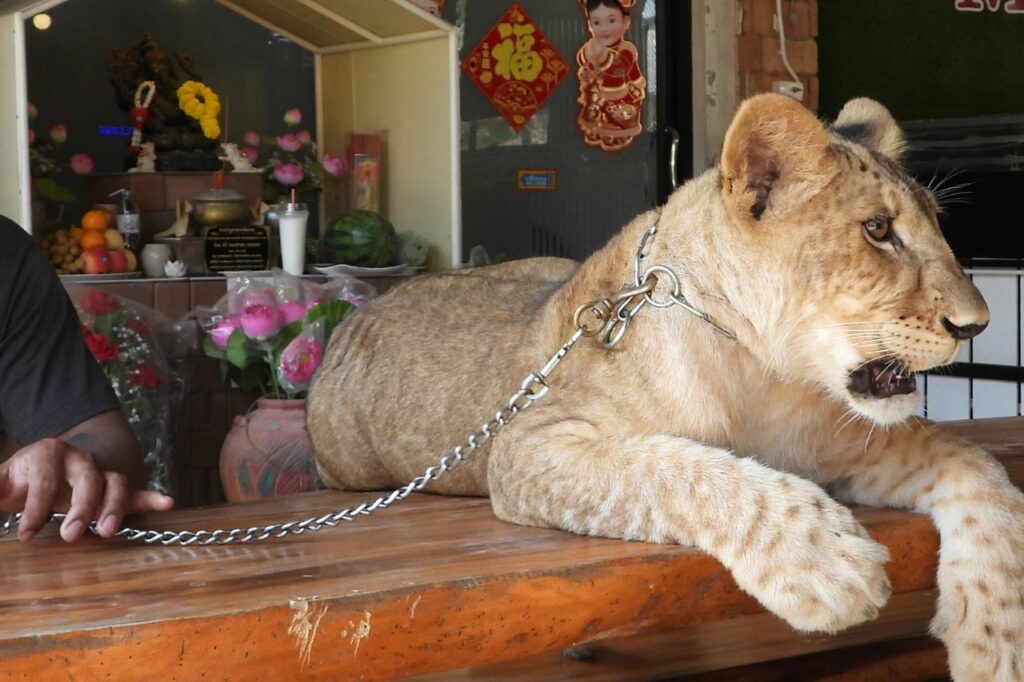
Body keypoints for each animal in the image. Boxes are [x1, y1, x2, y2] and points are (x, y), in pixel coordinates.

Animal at [307, 94, 1024, 681]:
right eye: (878, 230)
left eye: (936, 225)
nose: (978, 324)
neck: (765, 376)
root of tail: (355, 316)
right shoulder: (525, 448)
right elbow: (678, 467)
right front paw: (824, 562)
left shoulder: (844, 447)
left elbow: (982, 473)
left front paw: (996, 646)